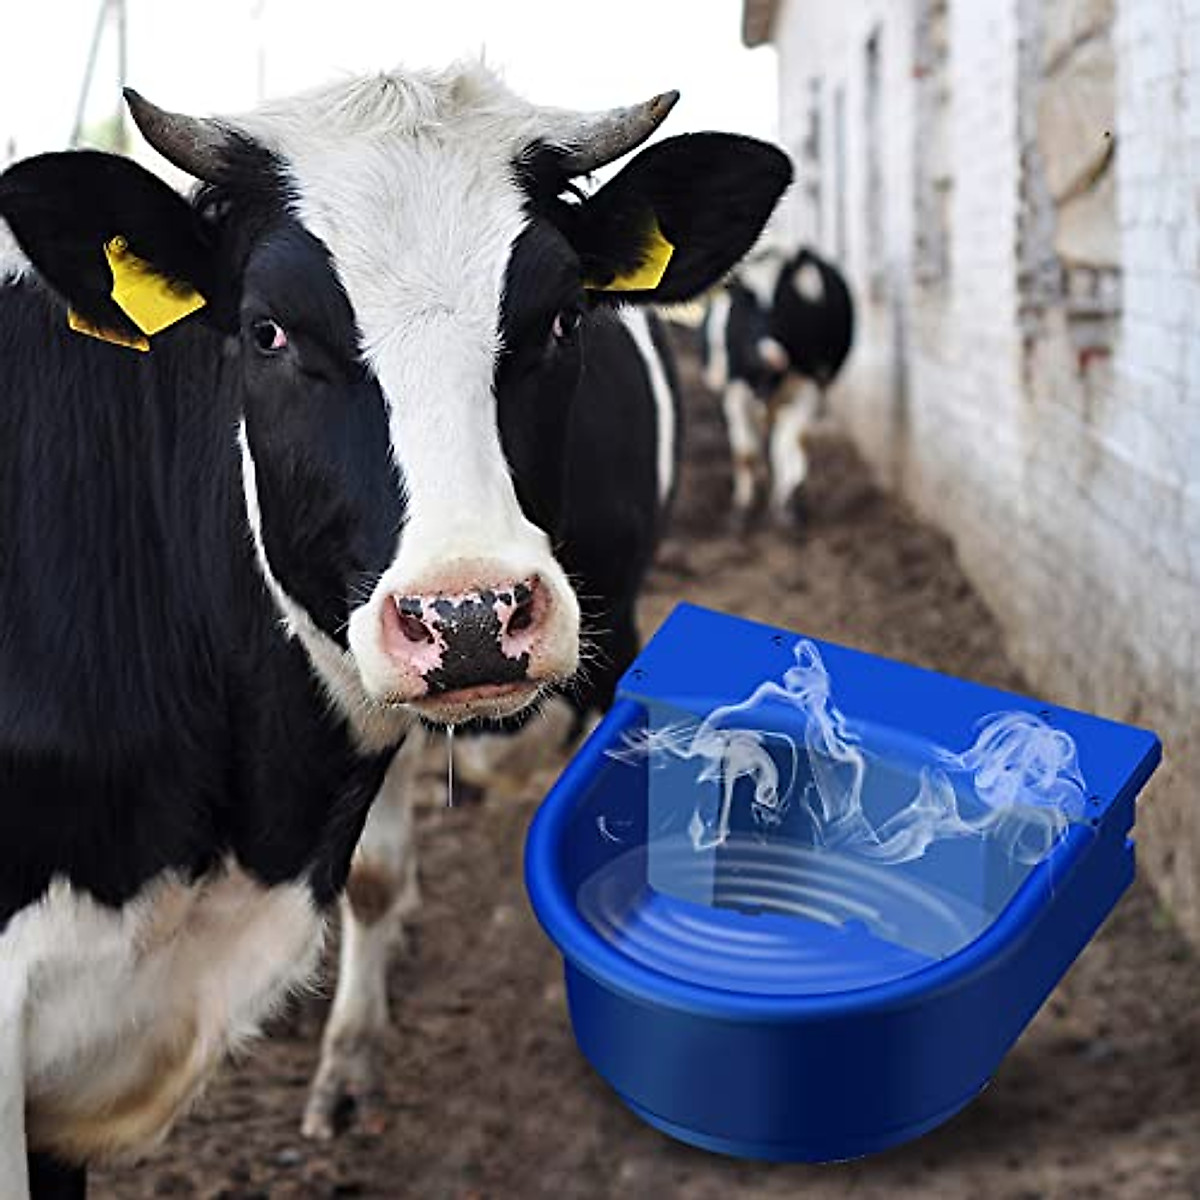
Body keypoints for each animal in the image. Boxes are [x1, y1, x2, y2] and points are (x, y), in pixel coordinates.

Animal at [702, 244, 853, 525]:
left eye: (786, 303)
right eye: (744, 302)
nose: (771, 356)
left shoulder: (809, 385)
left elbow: (792, 443)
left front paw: (788, 507)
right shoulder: (734, 390)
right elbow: (745, 453)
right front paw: (742, 508)